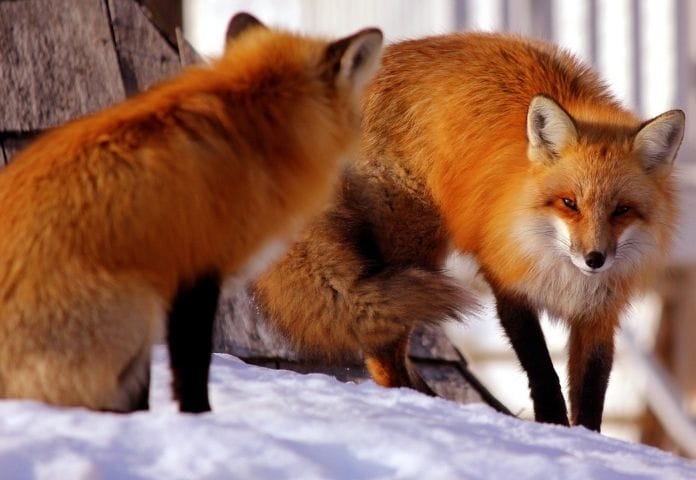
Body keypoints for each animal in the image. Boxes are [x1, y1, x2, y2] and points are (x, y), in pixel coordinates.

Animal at [0, 13, 383, 413]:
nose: (361, 130)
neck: (251, 132)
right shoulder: (198, 267)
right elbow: (193, 368)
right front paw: (200, 419)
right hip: (136, 310)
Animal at [254, 32, 684, 432]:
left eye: (621, 210)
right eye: (569, 203)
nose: (595, 259)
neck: (560, 270)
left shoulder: (599, 312)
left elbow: (592, 389)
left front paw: (586, 439)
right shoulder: (508, 281)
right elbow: (541, 370)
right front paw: (552, 428)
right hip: (414, 247)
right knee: (381, 349)